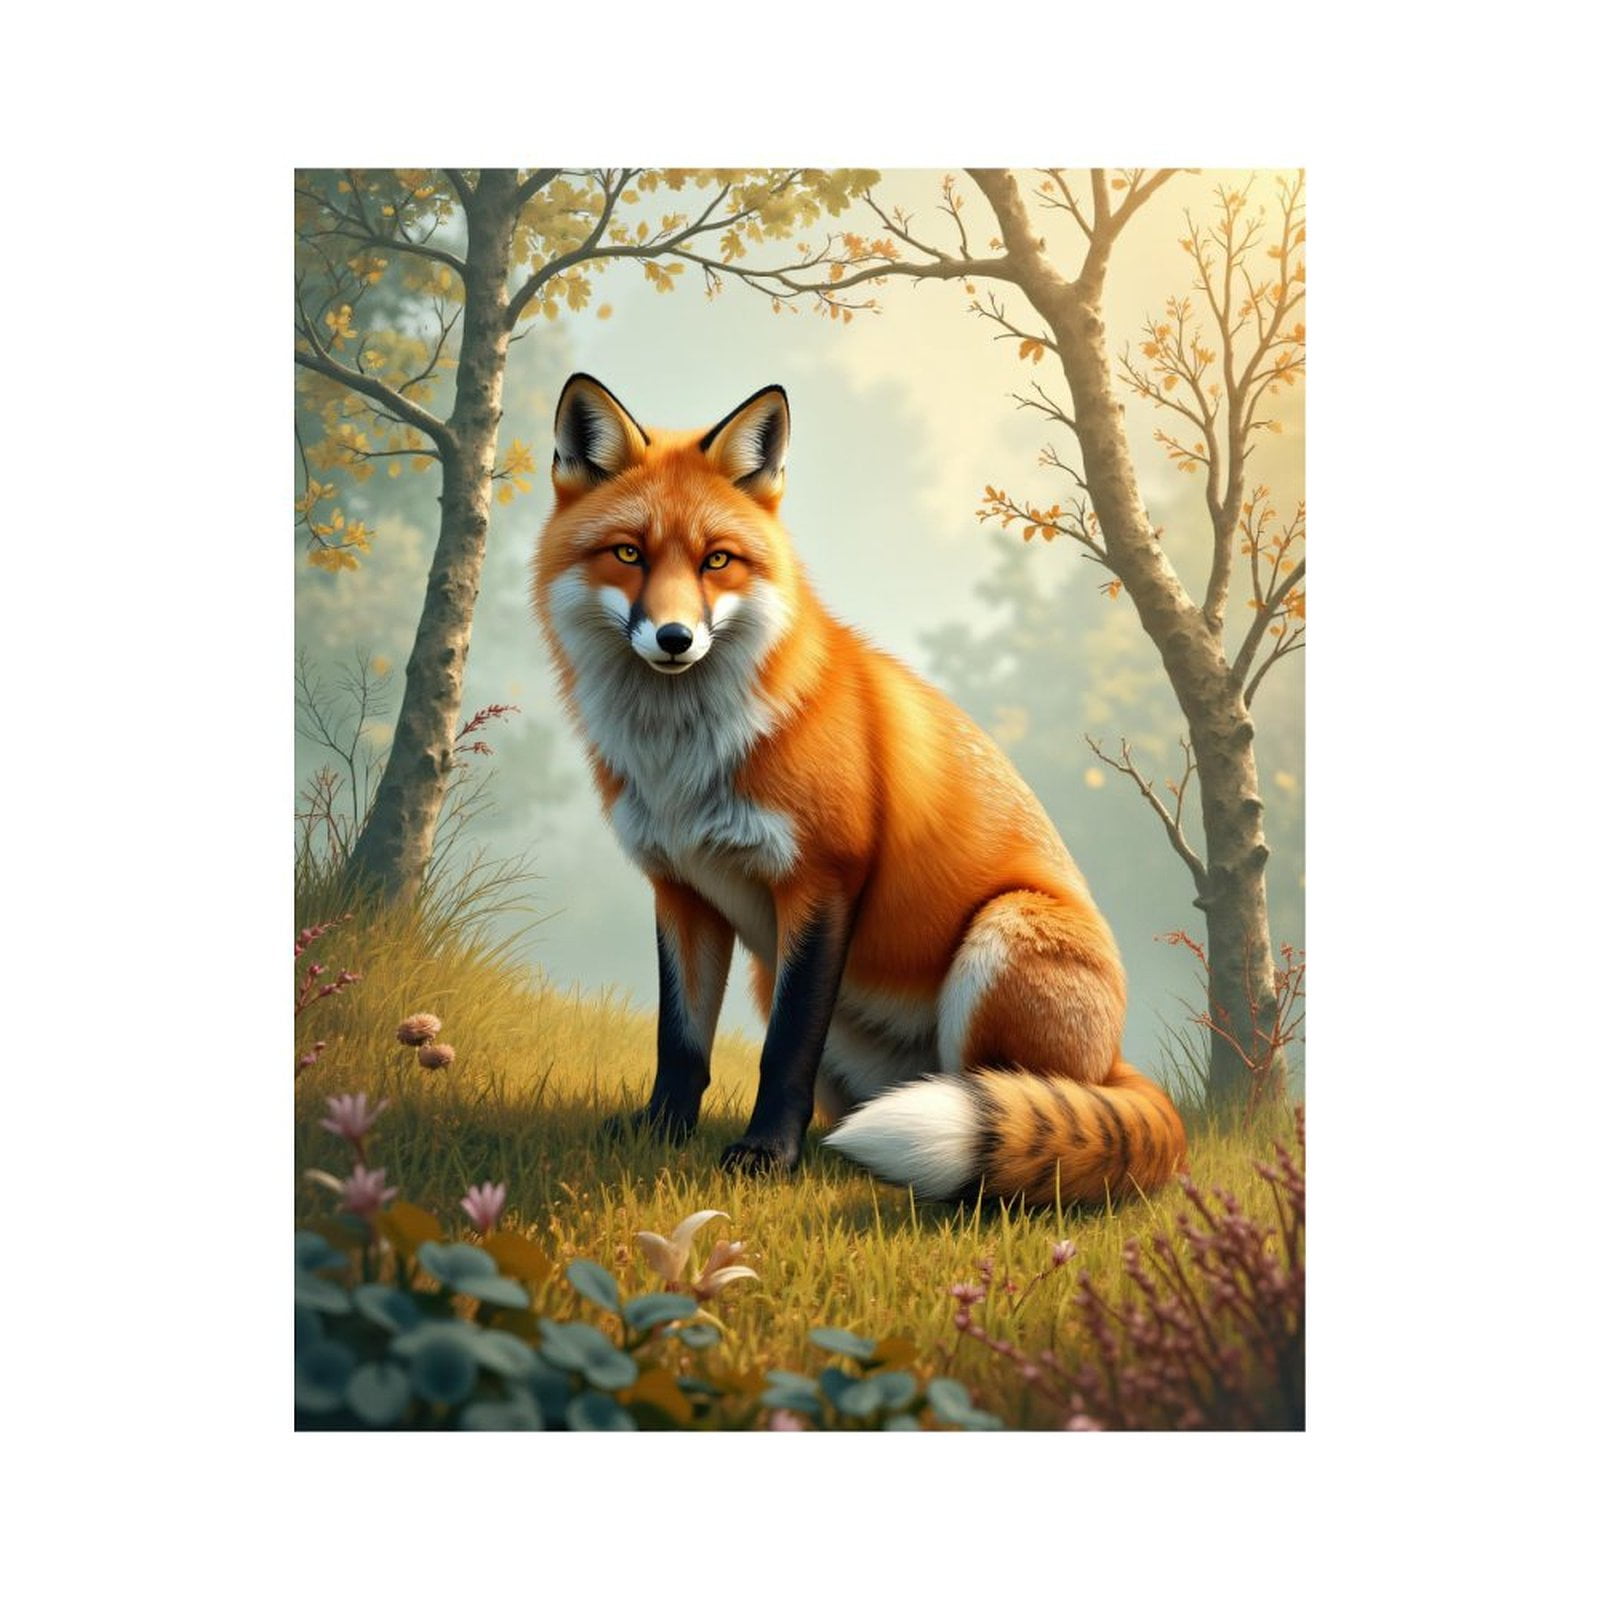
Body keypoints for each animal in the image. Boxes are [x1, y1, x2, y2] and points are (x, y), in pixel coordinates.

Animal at [532, 373, 1188, 1206]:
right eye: (628, 554)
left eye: (717, 561)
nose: (676, 639)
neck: (682, 761)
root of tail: (1114, 1064)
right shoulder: (681, 889)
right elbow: (679, 1043)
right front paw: (662, 1134)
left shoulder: (822, 880)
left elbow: (784, 1051)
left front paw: (767, 1156)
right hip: (780, 983)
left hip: (999, 939)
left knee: (1000, 1106)